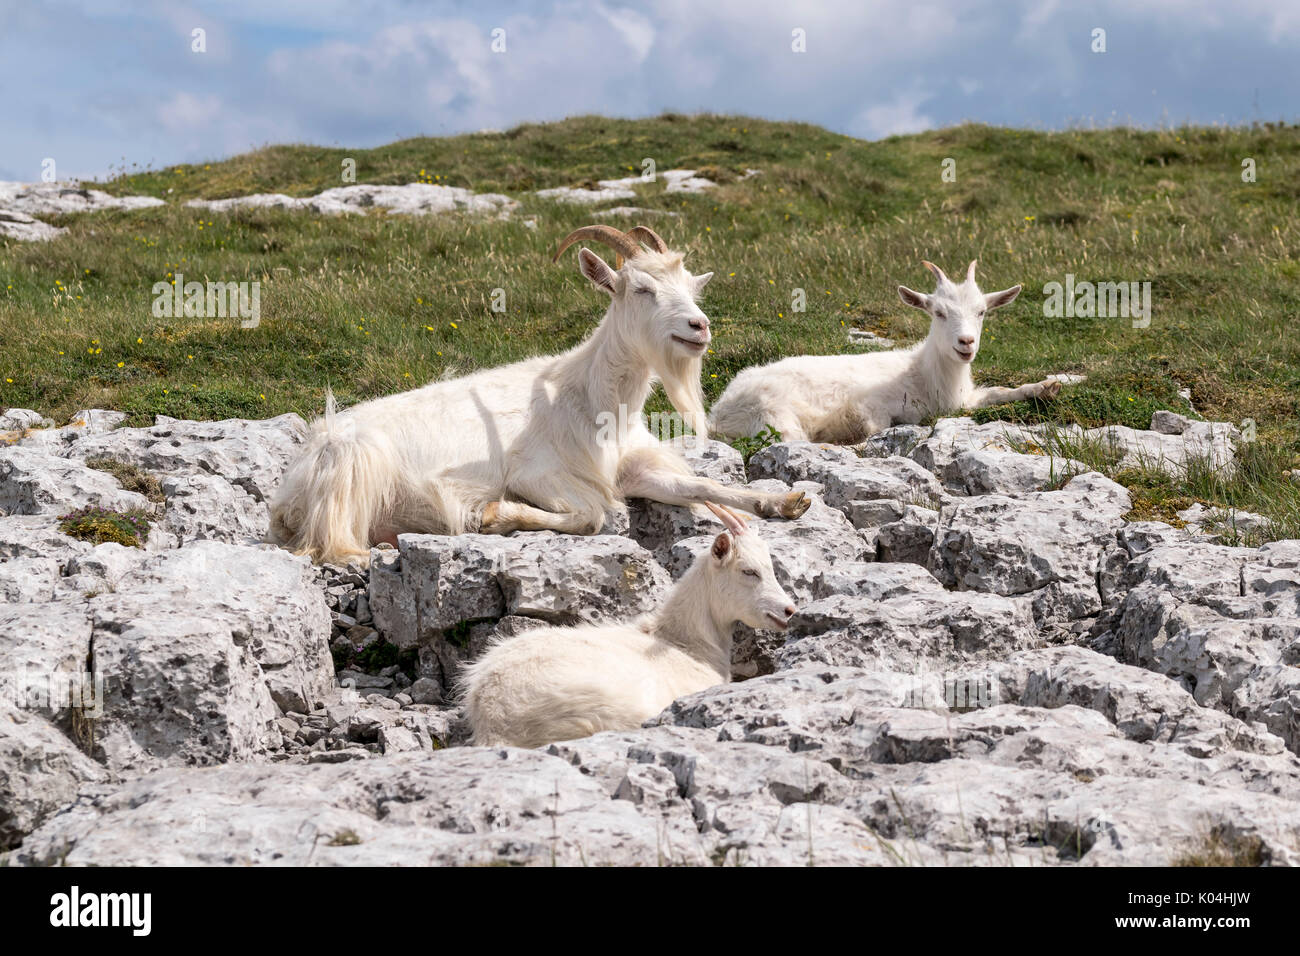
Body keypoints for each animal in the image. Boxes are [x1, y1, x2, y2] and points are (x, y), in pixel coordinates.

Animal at [269, 225, 810, 566]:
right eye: (639, 289)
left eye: (690, 287)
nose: (699, 326)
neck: (587, 396)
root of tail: (295, 480)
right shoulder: (534, 472)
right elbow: (593, 515)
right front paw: (494, 516)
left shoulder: (629, 469)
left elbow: (698, 486)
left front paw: (783, 501)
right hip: (354, 467)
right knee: (332, 541)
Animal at [709, 260, 1063, 444]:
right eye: (938, 312)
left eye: (982, 312)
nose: (966, 343)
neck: (922, 372)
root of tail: (718, 413)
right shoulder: (874, 403)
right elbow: (872, 423)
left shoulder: (964, 400)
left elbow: (997, 392)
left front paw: (1046, 388)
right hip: (773, 414)